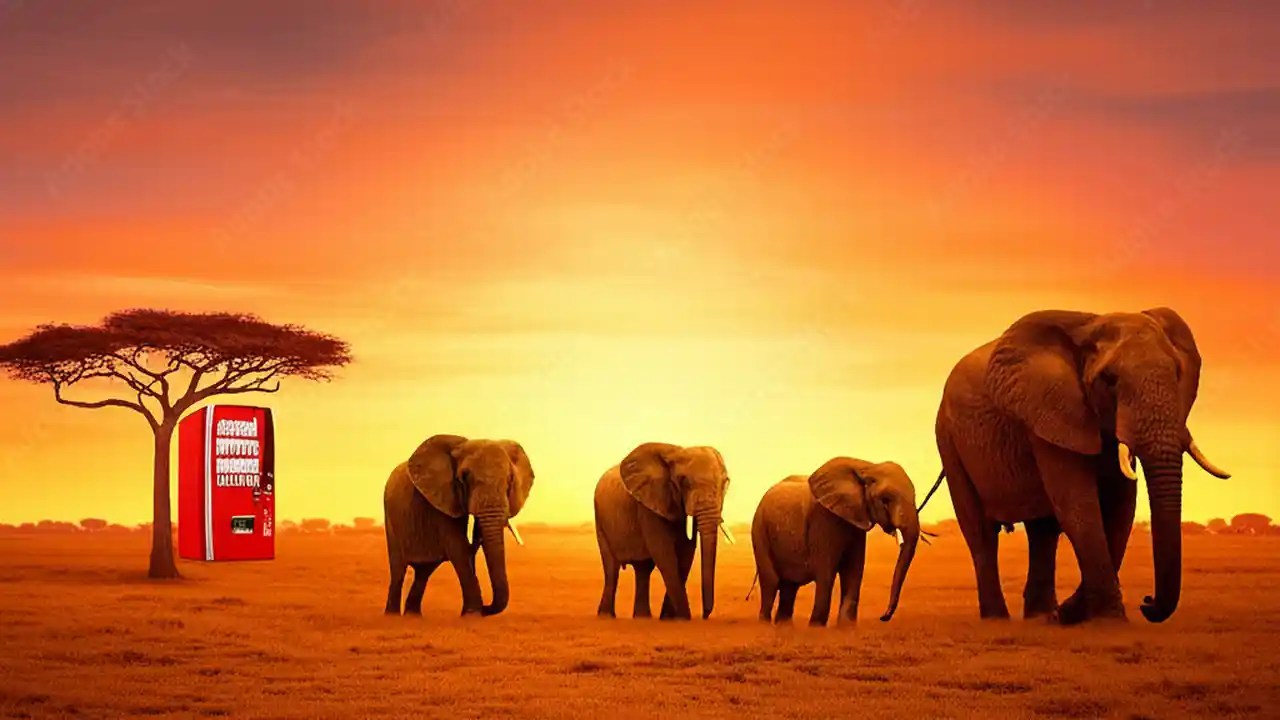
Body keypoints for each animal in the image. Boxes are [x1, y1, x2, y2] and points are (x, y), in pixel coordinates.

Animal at [383, 434, 534, 616]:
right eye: (464, 478)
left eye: (510, 480)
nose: (485, 607)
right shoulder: (442, 499)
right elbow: (458, 548)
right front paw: (472, 614)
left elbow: (467, 550)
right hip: (390, 521)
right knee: (398, 570)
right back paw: (392, 616)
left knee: (423, 572)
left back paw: (413, 616)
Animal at [594, 443, 735, 620]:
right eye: (683, 481)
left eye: (725, 483)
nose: (704, 615)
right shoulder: (649, 505)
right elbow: (664, 553)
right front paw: (682, 618)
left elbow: (686, 553)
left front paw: (669, 618)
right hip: (600, 520)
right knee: (611, 568)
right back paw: (606, 616)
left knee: (642, 569)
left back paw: (642, 617)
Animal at [751, 458, 921, 626]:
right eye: (885, 500)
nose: (883, 617)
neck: (867, 467)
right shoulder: (824, 520)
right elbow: (826, 572)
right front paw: (816, 627)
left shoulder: (856, 524)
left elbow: (854, 571)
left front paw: (846, 626)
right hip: (759, 530)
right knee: (771, 582)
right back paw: (765, 625)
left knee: (789, 587)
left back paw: (783, 626)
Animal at [935, 308, 1230, 624]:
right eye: (1109, 379)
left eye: (1177, 373)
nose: (1147, 601)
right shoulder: (1048, 411)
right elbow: (1080, 505)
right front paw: (1108, 619)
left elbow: (1121, 507)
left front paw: (1070, 614)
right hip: (948, 441)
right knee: (980, 531)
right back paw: (999, 618)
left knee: (1042, 532)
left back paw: (1041, 616)